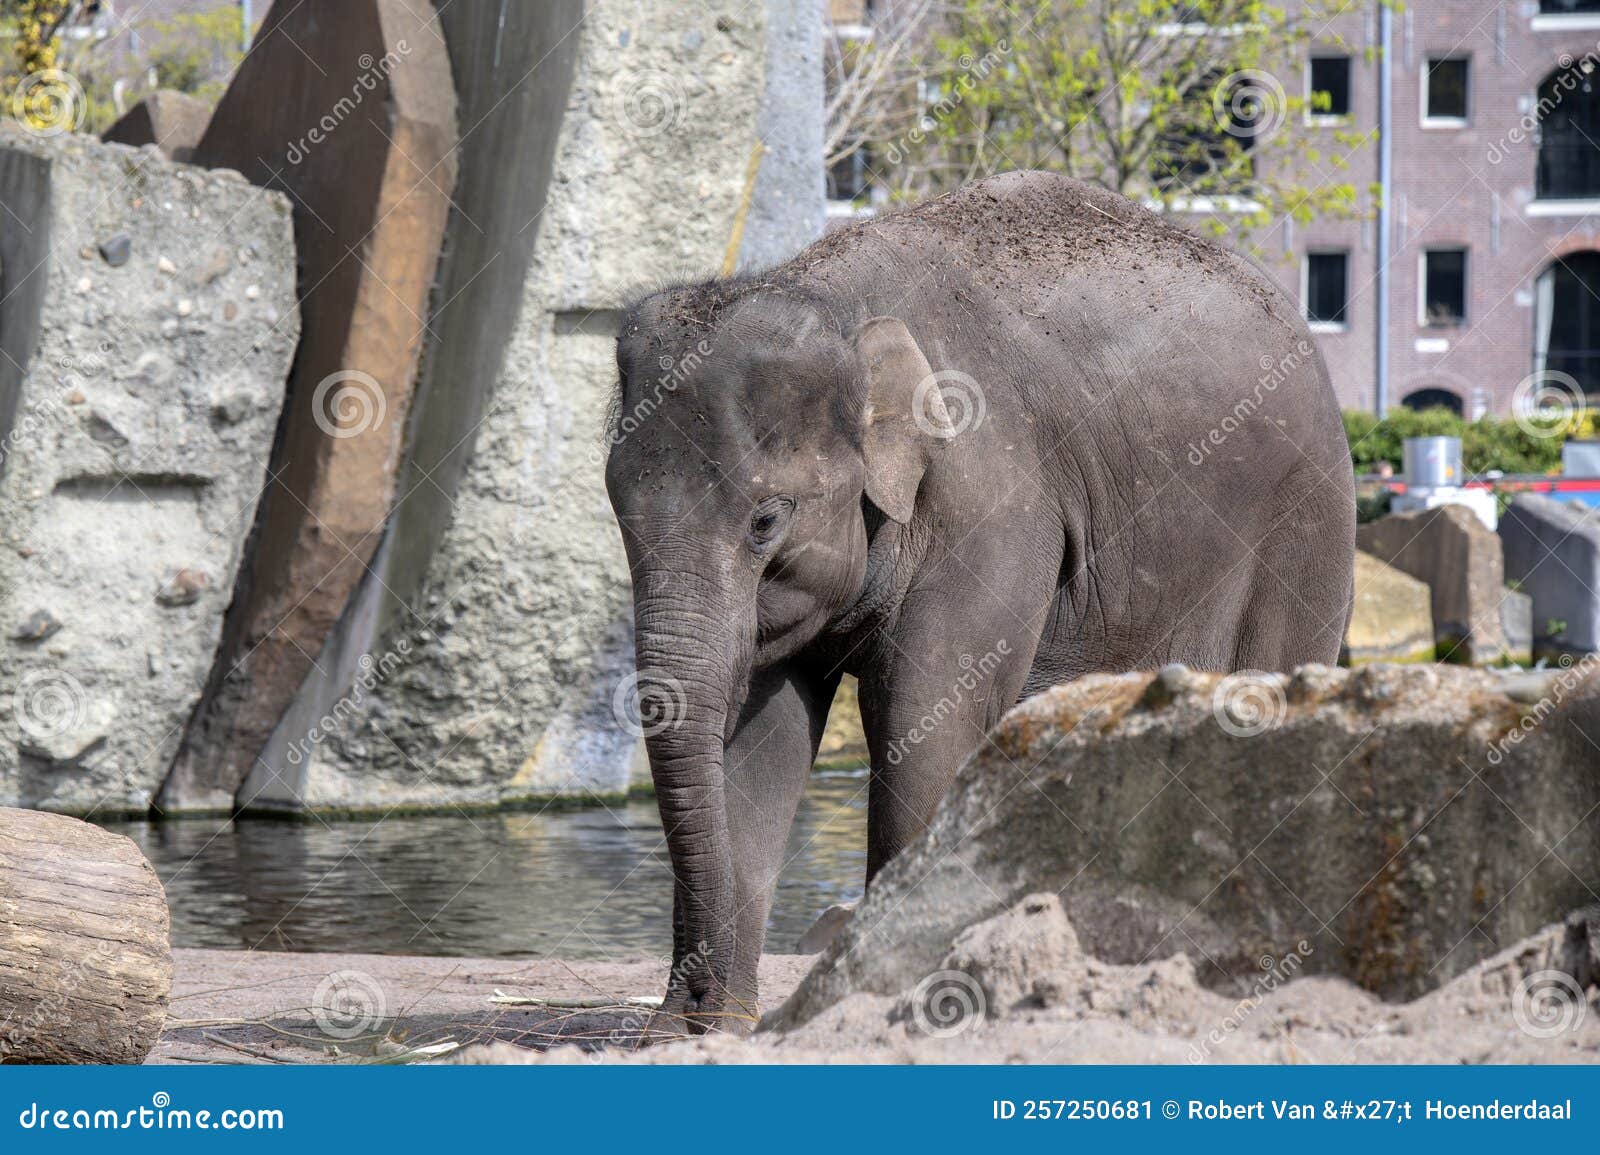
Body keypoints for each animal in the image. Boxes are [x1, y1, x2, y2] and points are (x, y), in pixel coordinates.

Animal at [604, 170, 1355, 1033]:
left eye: (765, 519)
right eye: (618, 511)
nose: (684, 1009)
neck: (836, 302)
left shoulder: (991, 502)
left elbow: (925, 721)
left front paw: (890, 994)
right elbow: (763, 747)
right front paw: (704, 1032)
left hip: (1306, 530)